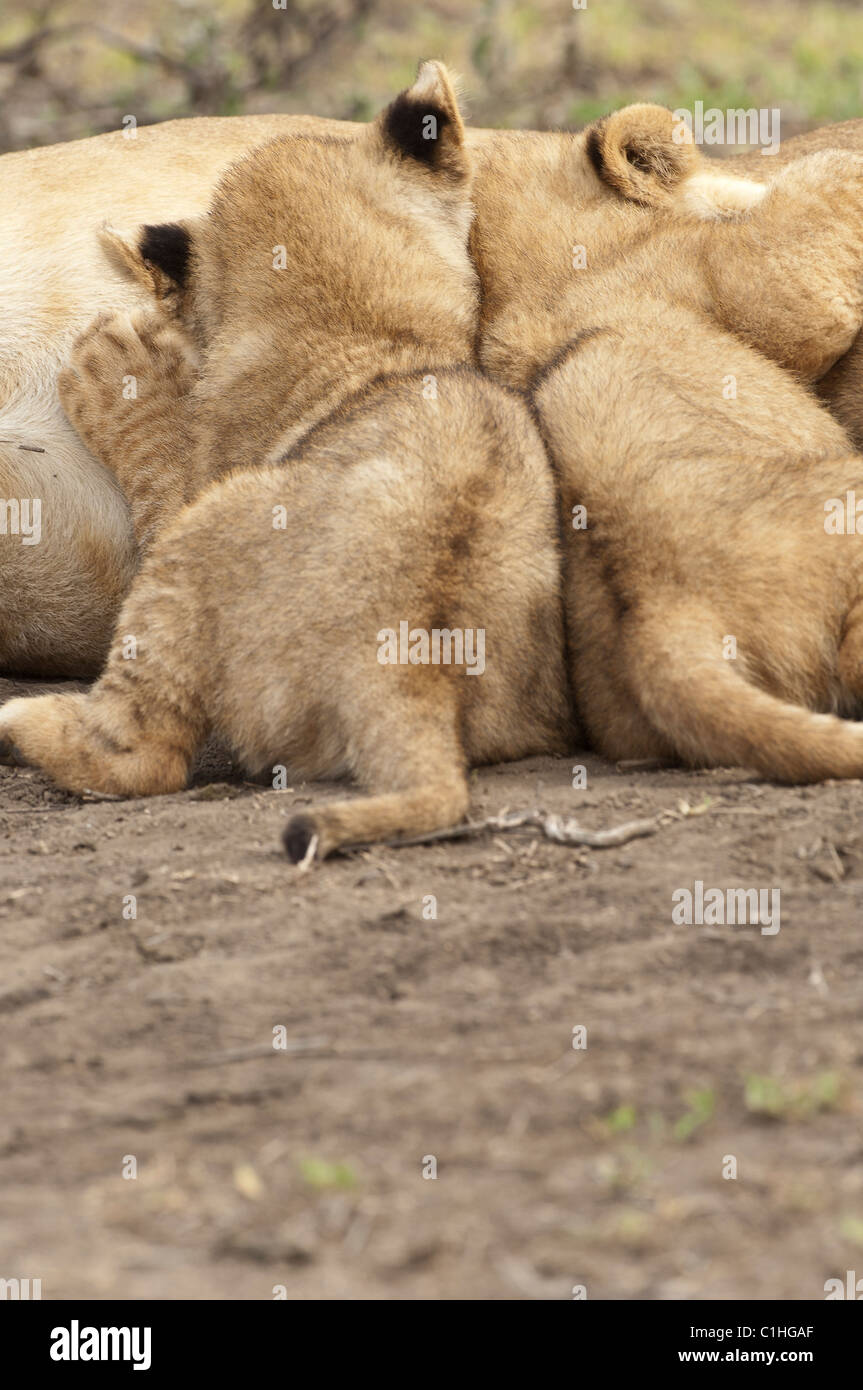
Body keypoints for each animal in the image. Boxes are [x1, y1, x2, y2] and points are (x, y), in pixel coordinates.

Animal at [0, 64, 572, 860]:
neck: (365, 334)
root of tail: (404, 675)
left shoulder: (193, 487)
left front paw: (121, 368)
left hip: (202, 538)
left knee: (142, 754)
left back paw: (25, 725)